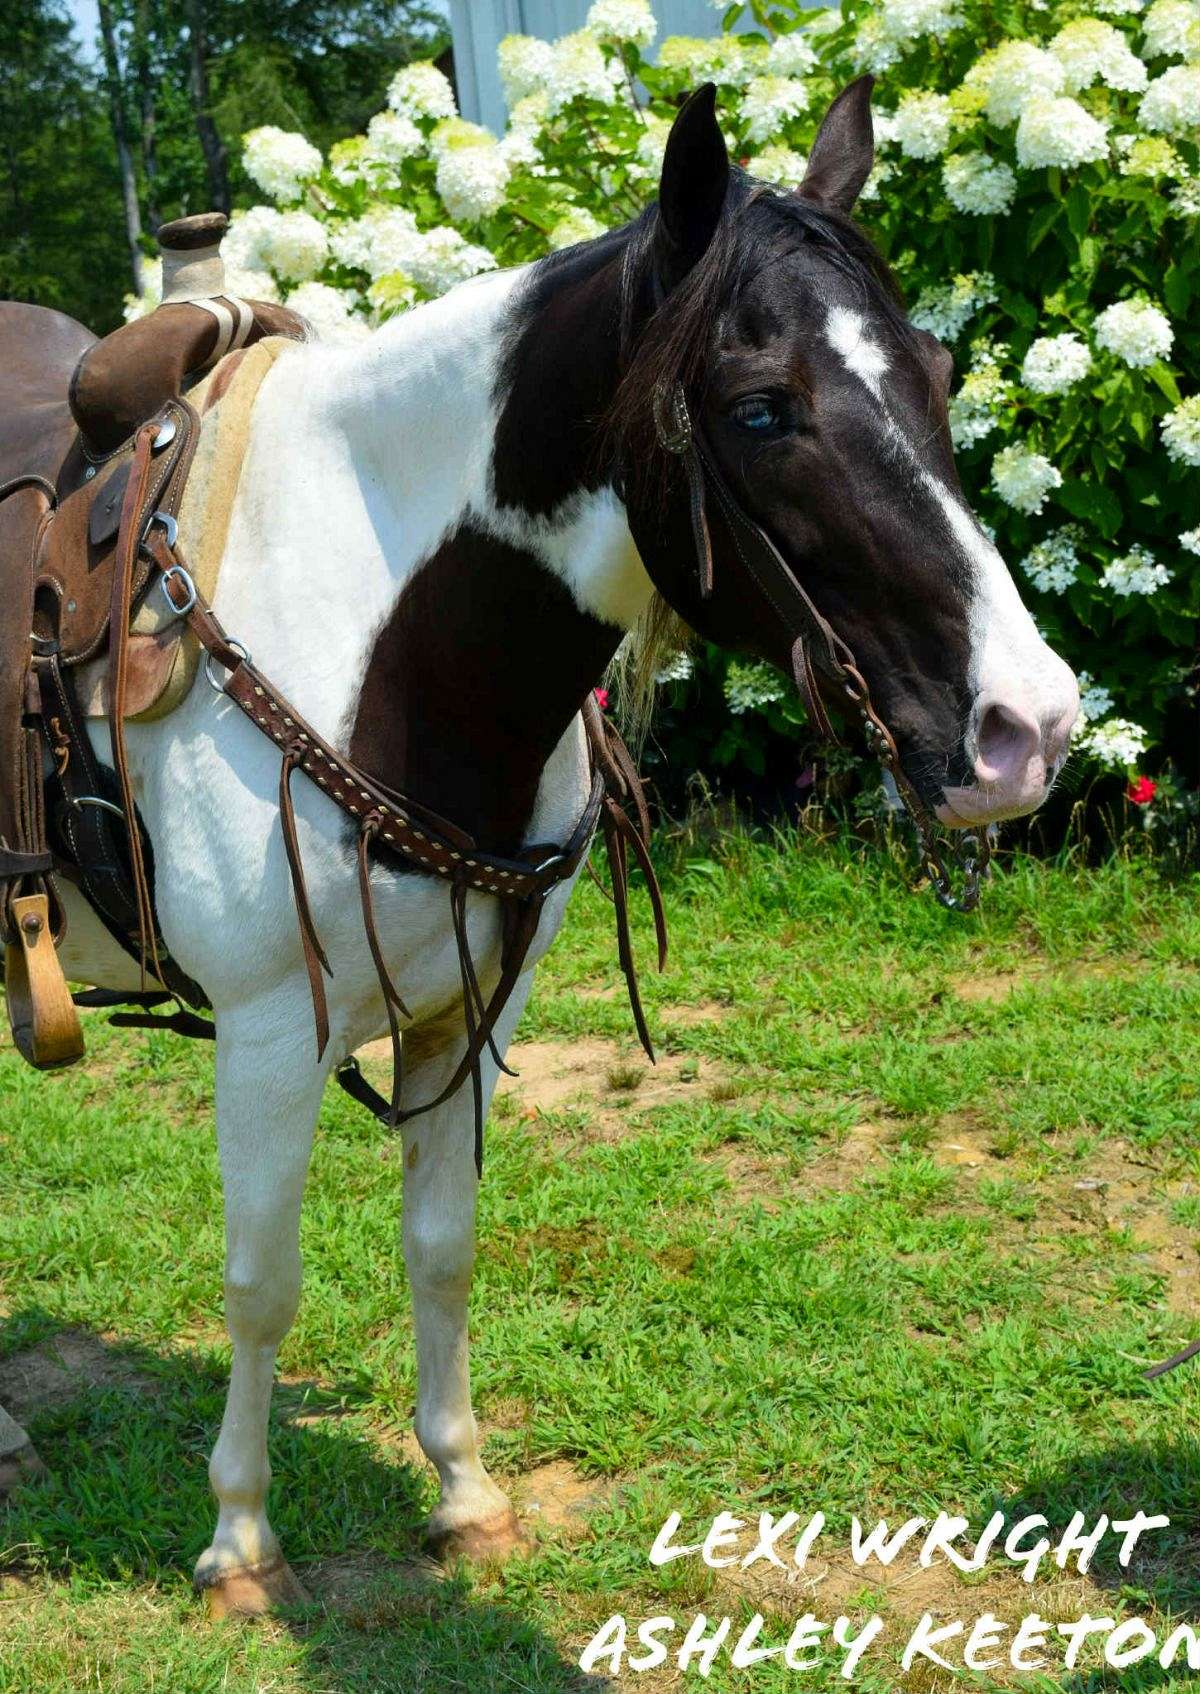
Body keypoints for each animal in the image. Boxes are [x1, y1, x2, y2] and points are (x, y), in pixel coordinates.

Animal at [10, 77, 1078, 1615]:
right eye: (761, 407)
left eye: (937, 373)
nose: (1028, 729)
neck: (391, 642)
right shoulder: (271, 1028)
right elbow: (261, 1281)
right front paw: (239, 1536)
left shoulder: (474, 1001)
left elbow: (443, 1246)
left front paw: (462, 1491)